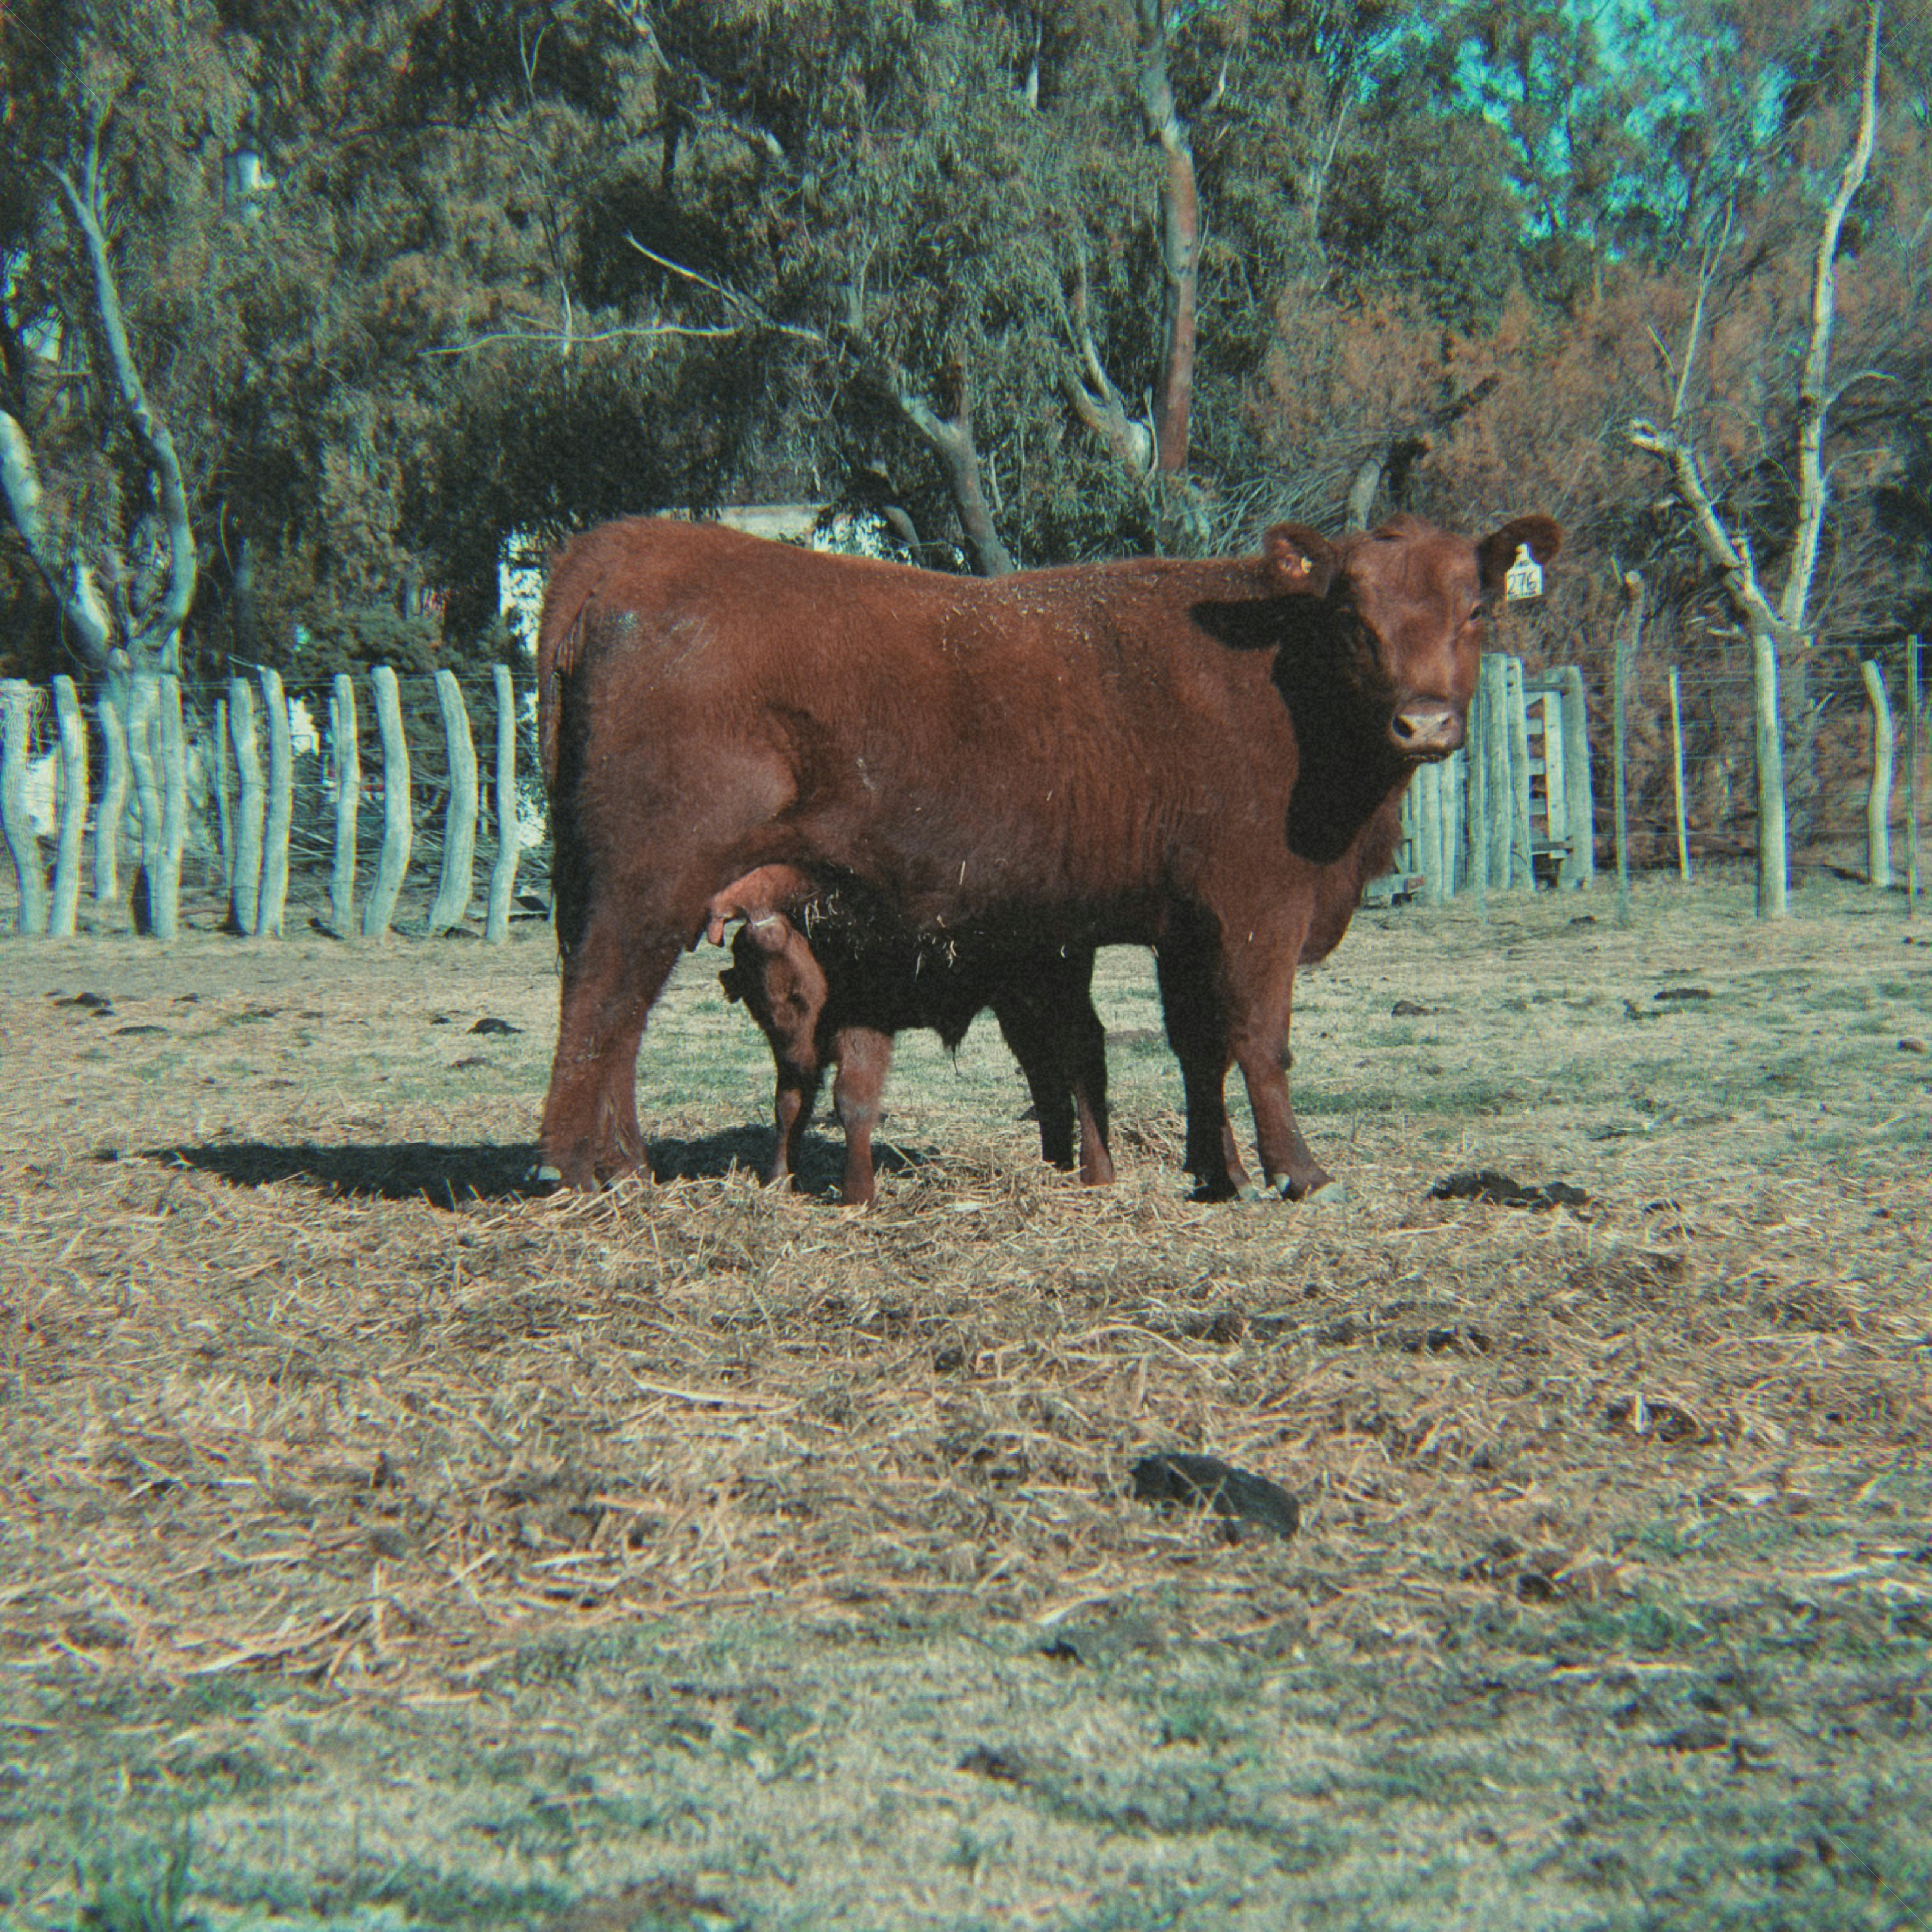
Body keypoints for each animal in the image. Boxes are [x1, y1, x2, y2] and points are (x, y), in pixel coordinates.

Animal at [704, 863, 1112, 1206]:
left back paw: (1096, 1173)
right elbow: (788, 1106)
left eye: (799, 993)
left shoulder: (863, 1034)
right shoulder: (795, 1057)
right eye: (757, 1001)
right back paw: (1055, 1165)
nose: (796, 1055)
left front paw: (857, 1194)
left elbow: (852, 1101)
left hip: (1057, 1001)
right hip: (1020, 1011)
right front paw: (777, 1183)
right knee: (1044, 1075)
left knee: (1084, 1056)